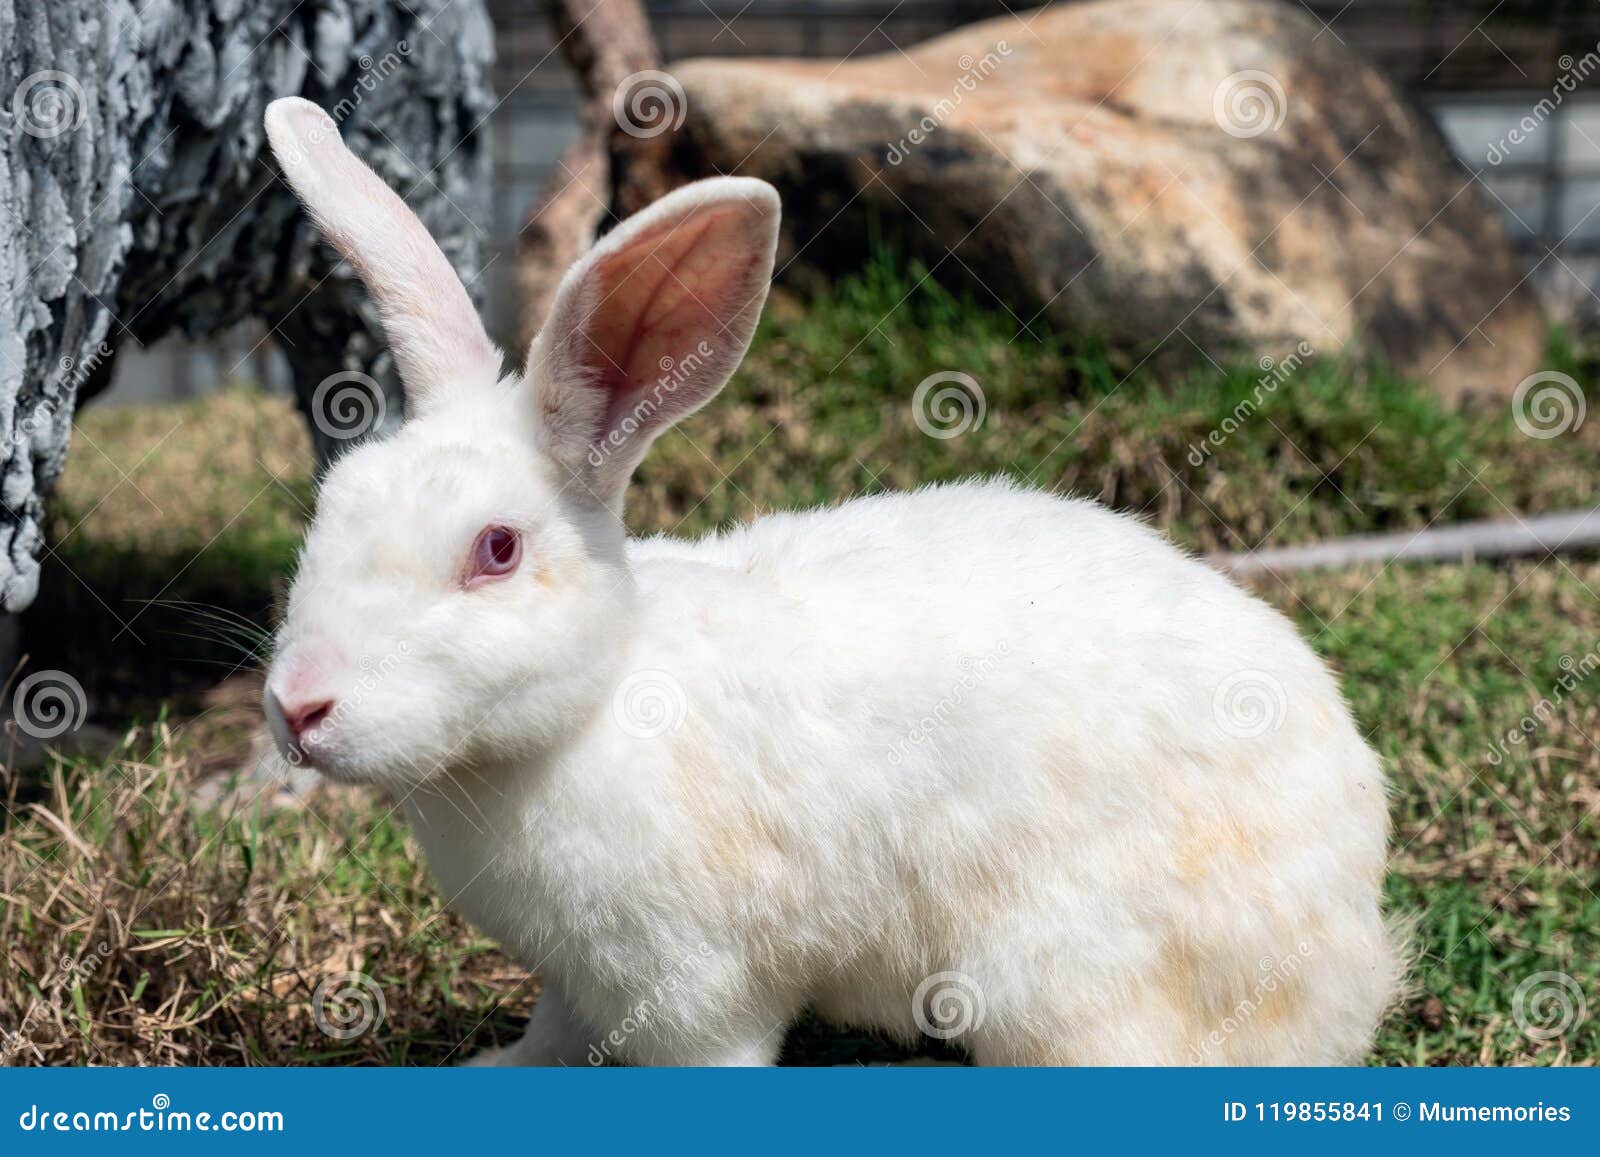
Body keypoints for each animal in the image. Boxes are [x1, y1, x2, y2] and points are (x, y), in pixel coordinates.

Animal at [261, 96, 1399, 1066]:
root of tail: (1350, 939)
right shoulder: (577, 982)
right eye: (333, 505)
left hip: (1065, 983)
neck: (597, 702)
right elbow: (550, 1035)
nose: (297, 708)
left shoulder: (694, 988)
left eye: (495, 549)